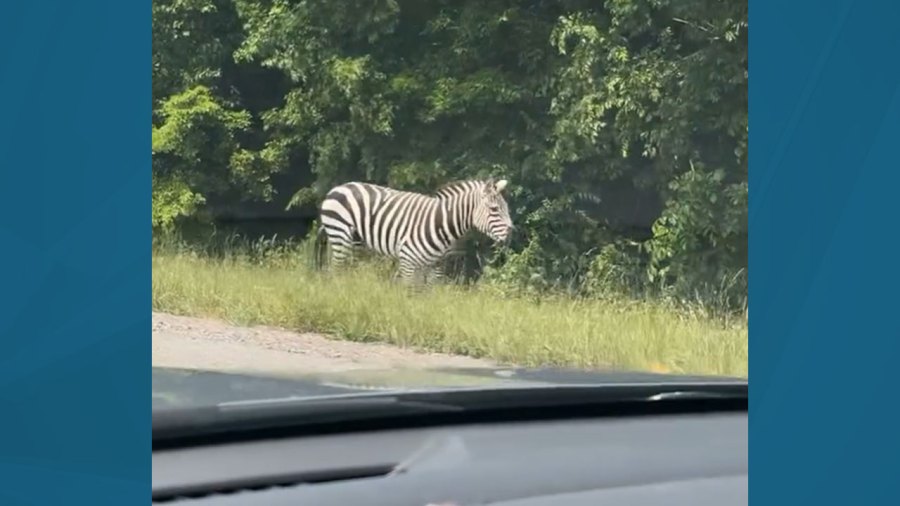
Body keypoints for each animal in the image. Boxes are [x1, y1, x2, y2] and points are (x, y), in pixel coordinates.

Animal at [314, 178, 514, 284]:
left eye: (506, 208)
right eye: (494, 209)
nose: (511, 234)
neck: (440, 222)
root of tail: (338, 187)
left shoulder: (435, 266)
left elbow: (426, 295)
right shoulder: (408, 261)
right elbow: (410, 293)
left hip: (355, 242)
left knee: (348, 269)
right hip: (340, 235)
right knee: (336, 270)